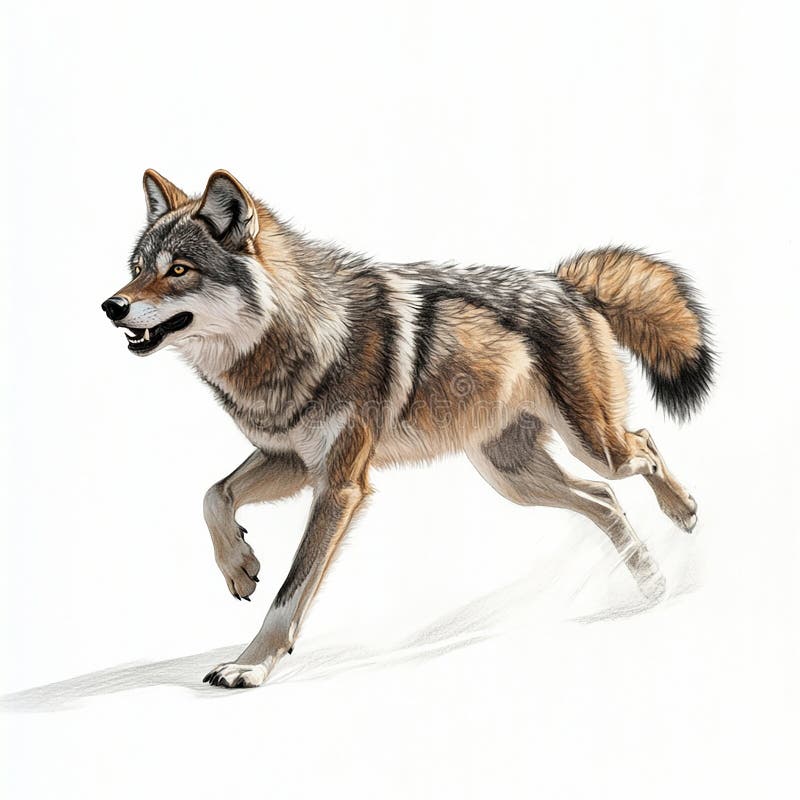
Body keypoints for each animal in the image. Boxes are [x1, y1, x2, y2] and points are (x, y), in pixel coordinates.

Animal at [102, 169, 714, 688]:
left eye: (179, 270)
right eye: (137, 268)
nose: (111, 305)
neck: (296, 335)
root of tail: (567, 284)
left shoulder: (340, 484)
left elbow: (290, 593)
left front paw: (250, 666)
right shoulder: (292, 461)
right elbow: (213, 496)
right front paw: (240, 568)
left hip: (591, 445)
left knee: (643, 447)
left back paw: (683, 512)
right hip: (514, 480)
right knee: (604, 499)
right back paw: (651, 582)